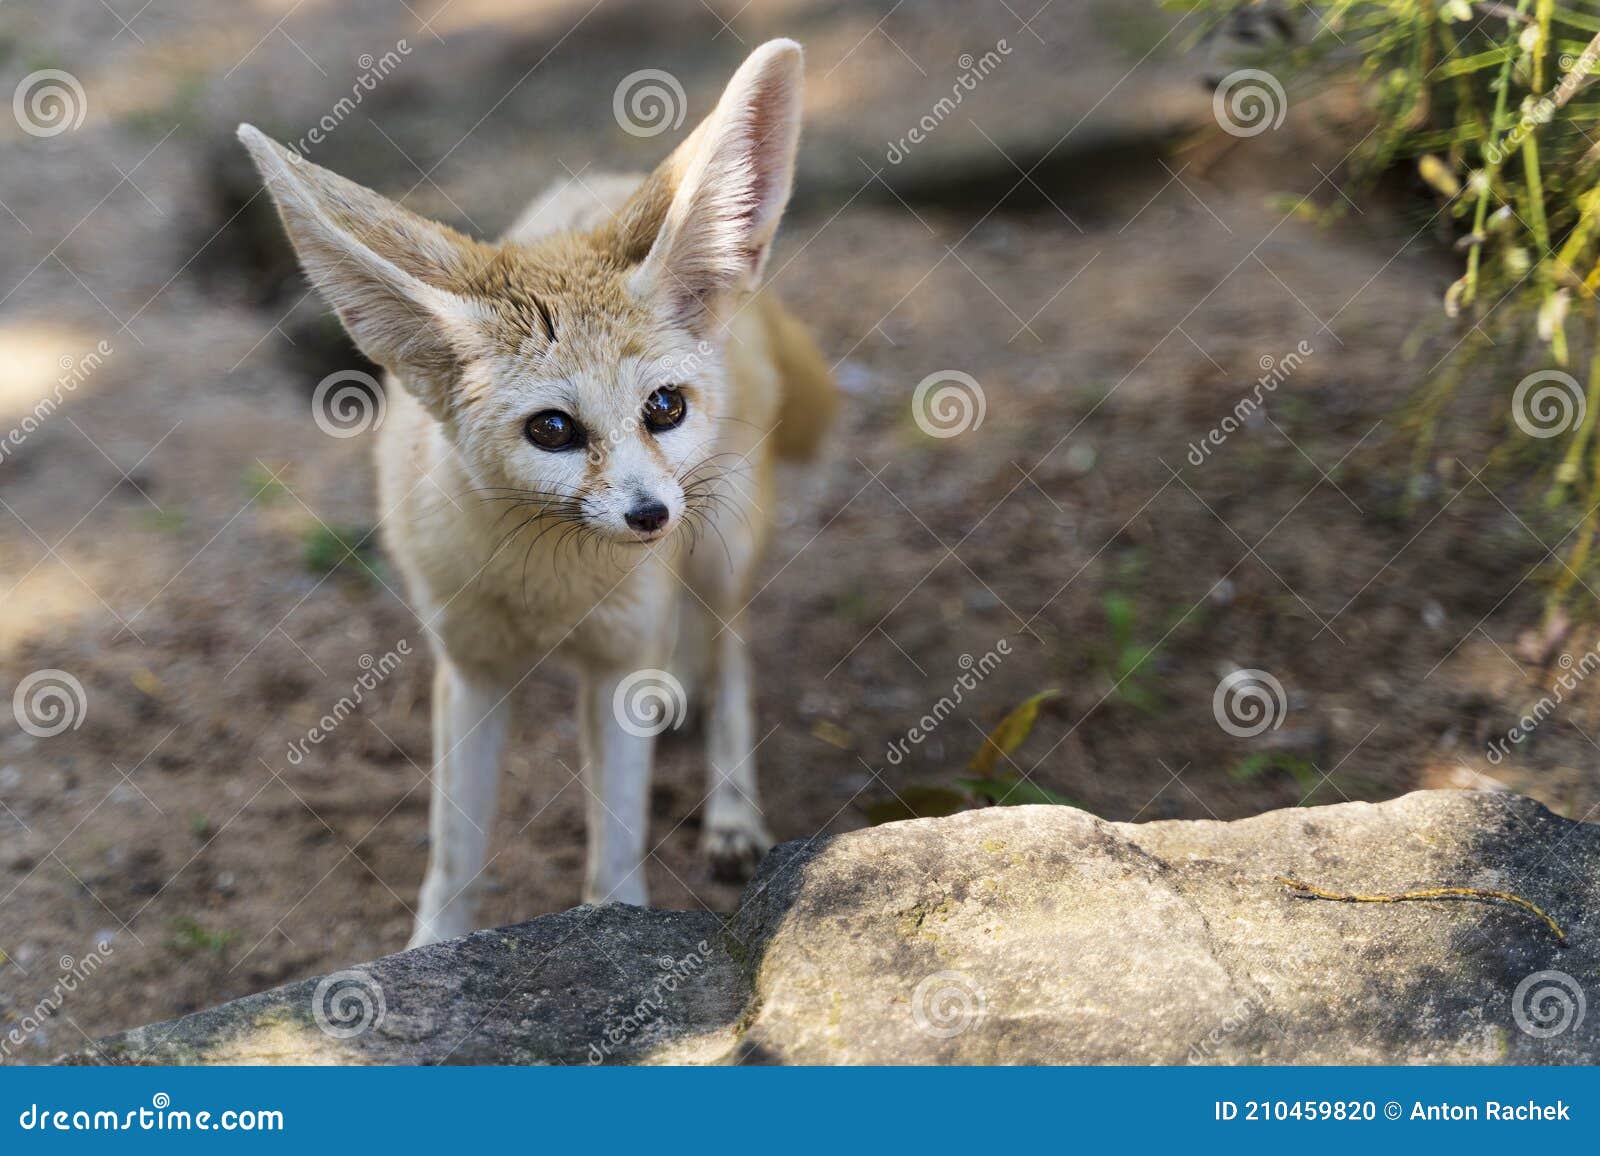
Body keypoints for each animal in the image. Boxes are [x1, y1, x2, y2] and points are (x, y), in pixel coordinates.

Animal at [238, 39, 836, 946]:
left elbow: (614, 852)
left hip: (722, 544)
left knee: (732, 657)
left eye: (664, 408)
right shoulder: (470, 667)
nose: (650, 516)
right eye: (553, 430)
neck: (550, 586)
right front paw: (432, 950)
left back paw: (733, 810)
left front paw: (616, 930)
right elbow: (455, 851)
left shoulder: (616, 662)